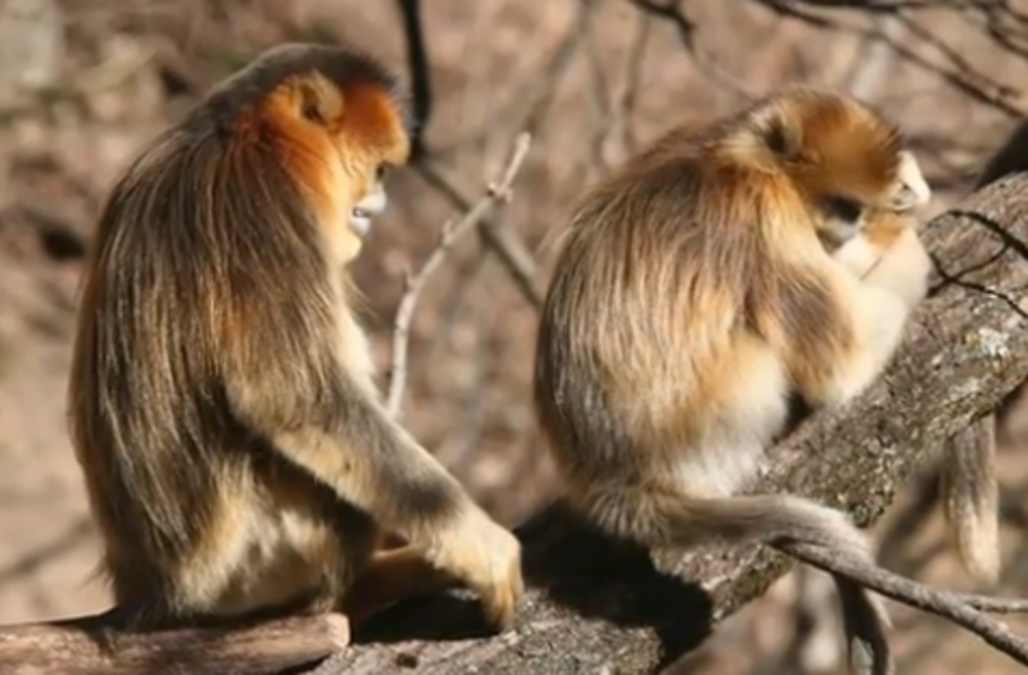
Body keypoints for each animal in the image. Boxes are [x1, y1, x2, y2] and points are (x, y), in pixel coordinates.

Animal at [68, 43, 522, 630]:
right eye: (378, 170)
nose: (374, 210)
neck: (244, 134)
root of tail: (156, 597)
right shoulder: (262, 203)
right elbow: (294, 399)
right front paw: (483, 548)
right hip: (251, 564)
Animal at [533, 88, 931, 673]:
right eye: (844, 206)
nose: (850, 228)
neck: (735, 152)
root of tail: (615, 482)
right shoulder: (766, 213)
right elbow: (843, 365)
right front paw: (905, 239)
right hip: (723, 408)